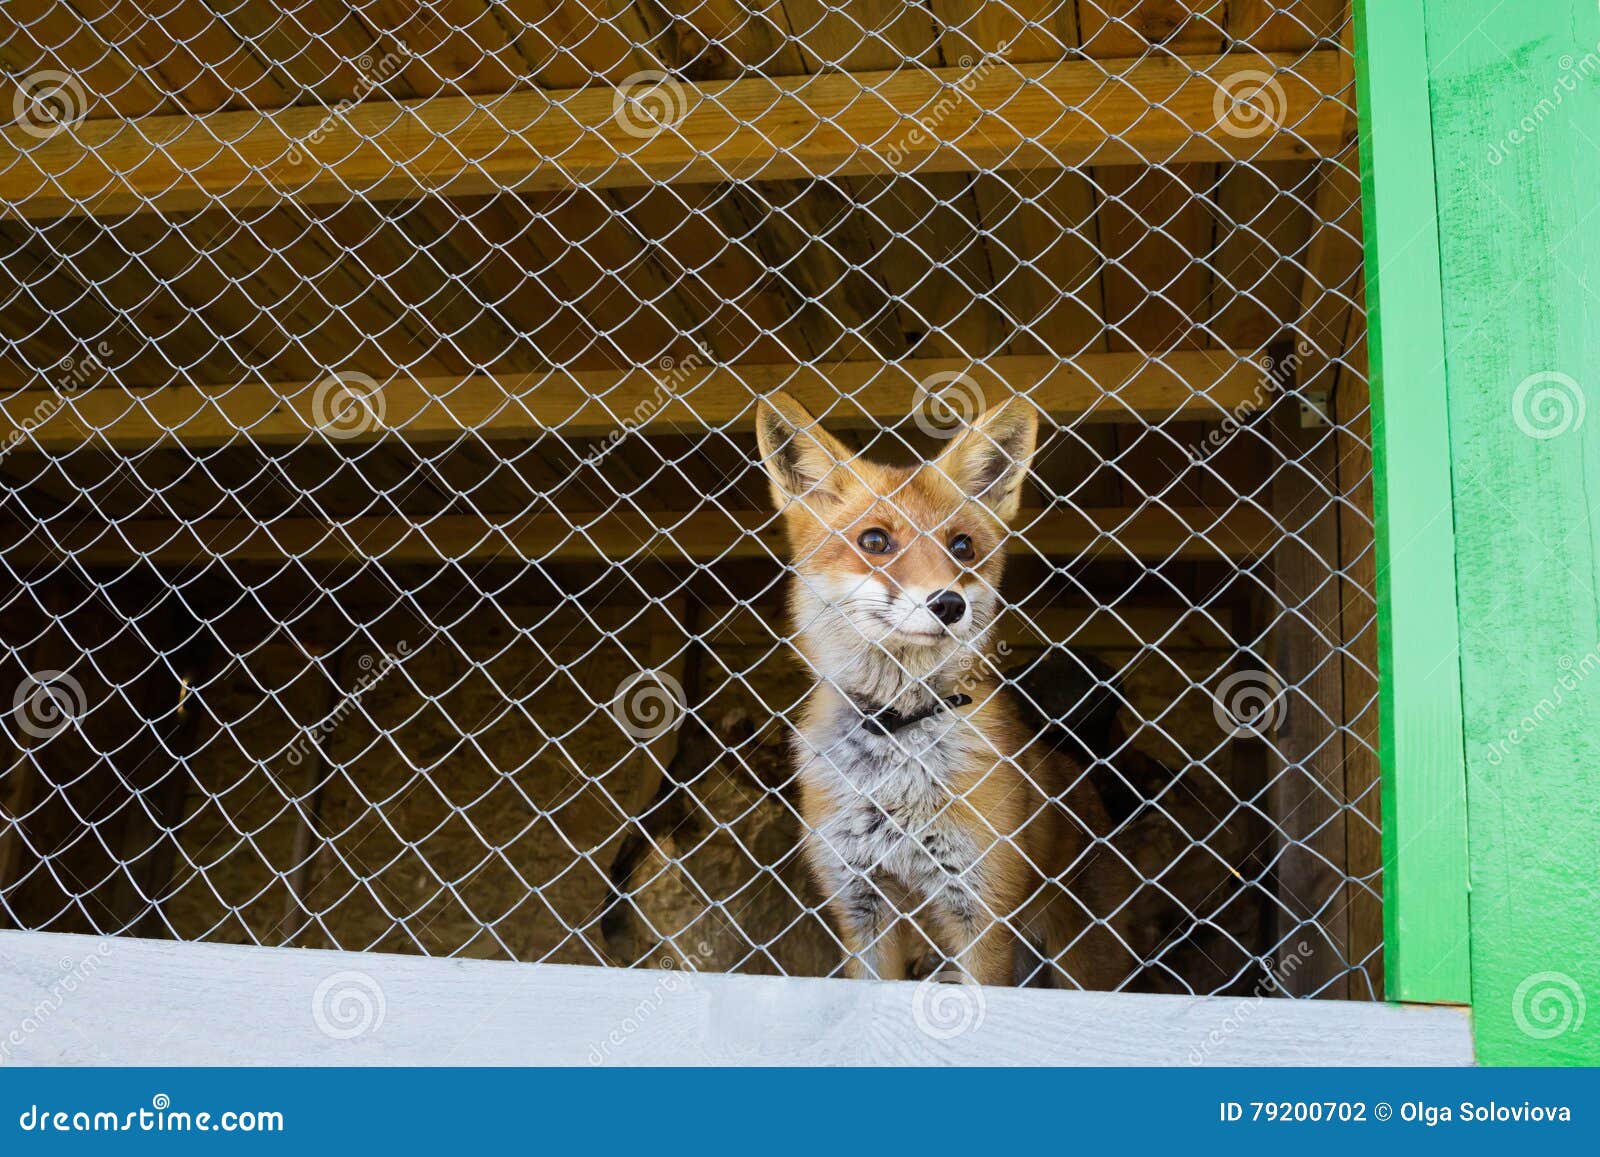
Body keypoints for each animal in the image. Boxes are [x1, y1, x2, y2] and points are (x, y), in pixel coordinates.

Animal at [756, 390, 1122, 990]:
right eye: (875, 541)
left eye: (963, 546)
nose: (949, 604)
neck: (896, 737)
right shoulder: (861, 906)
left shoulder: (981, 912)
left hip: (1080, 965)